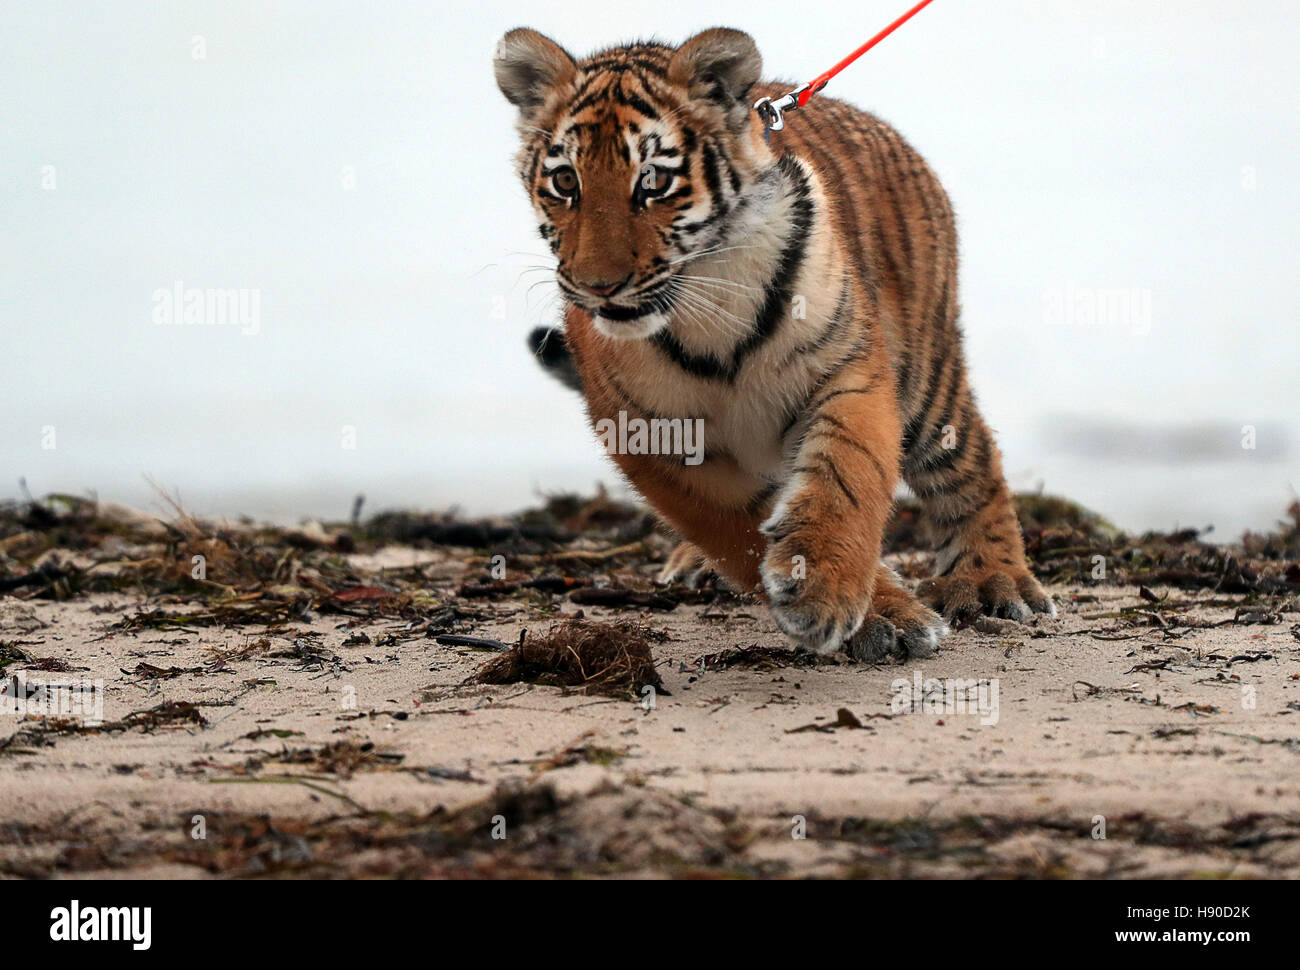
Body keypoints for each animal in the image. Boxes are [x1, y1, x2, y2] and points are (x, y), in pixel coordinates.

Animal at [494, 26, 1056, 662]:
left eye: (654, 181)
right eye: (566, 182)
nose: (598, 286)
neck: (704, 303)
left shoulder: (850, 372)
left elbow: (846, 483)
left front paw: (826, 592)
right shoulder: (651, 435)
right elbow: (734, 524)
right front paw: (869, 610)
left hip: (926, 380)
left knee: (973, 464)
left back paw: (993, 581)